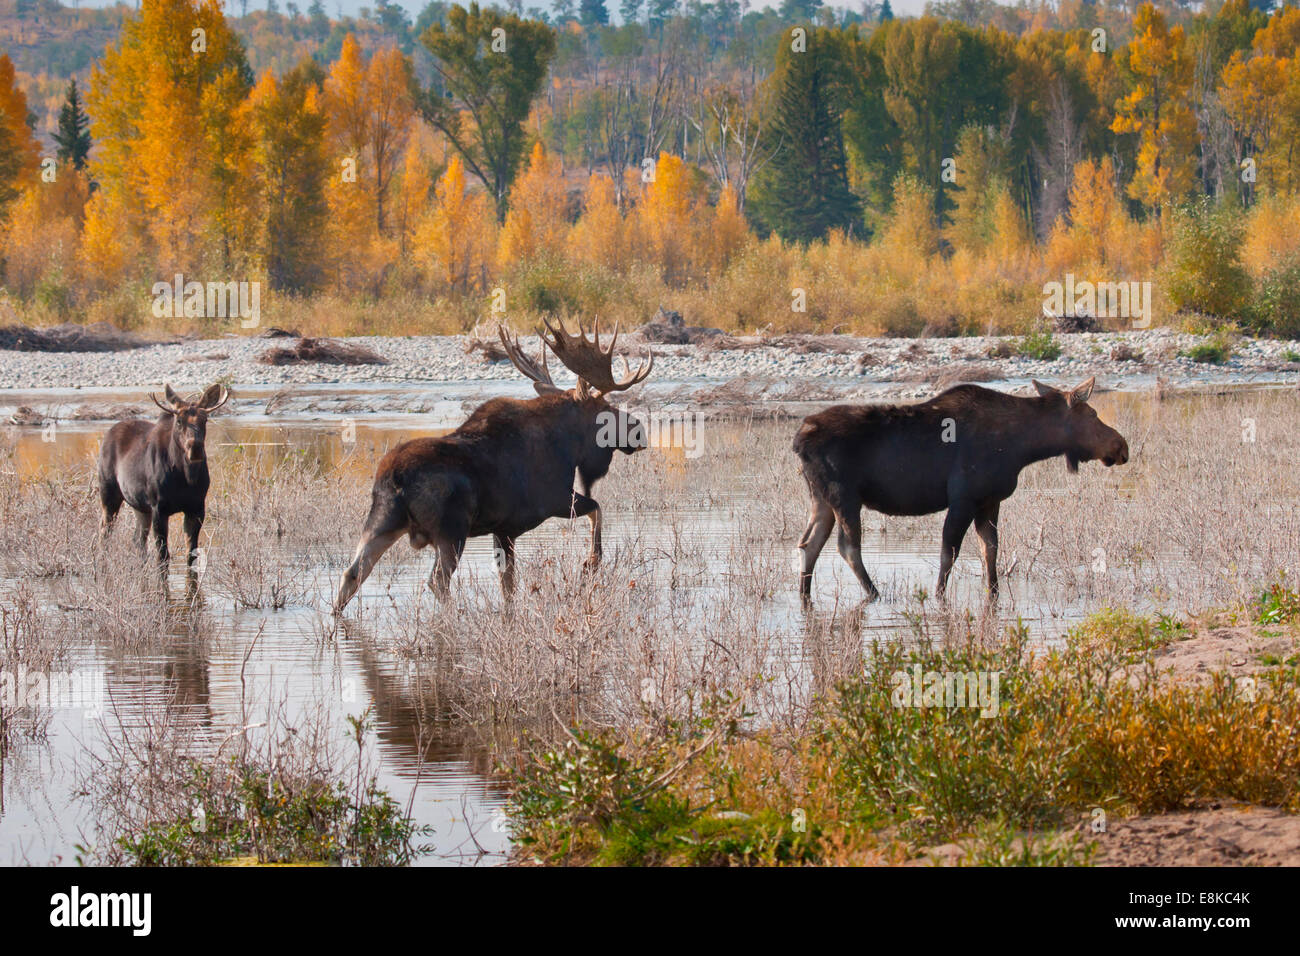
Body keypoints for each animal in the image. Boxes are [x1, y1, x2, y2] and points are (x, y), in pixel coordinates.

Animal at [333, 320, 653, 613]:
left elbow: (508, 586)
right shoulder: (553, 500)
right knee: (437, 581)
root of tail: (395, 477)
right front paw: (591, 563)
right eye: (606, 409)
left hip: (383, 521)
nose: (639, 430)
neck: (570, 448)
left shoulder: (503, 529)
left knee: (352, 573)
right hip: (451, 530)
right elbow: (597, 509)